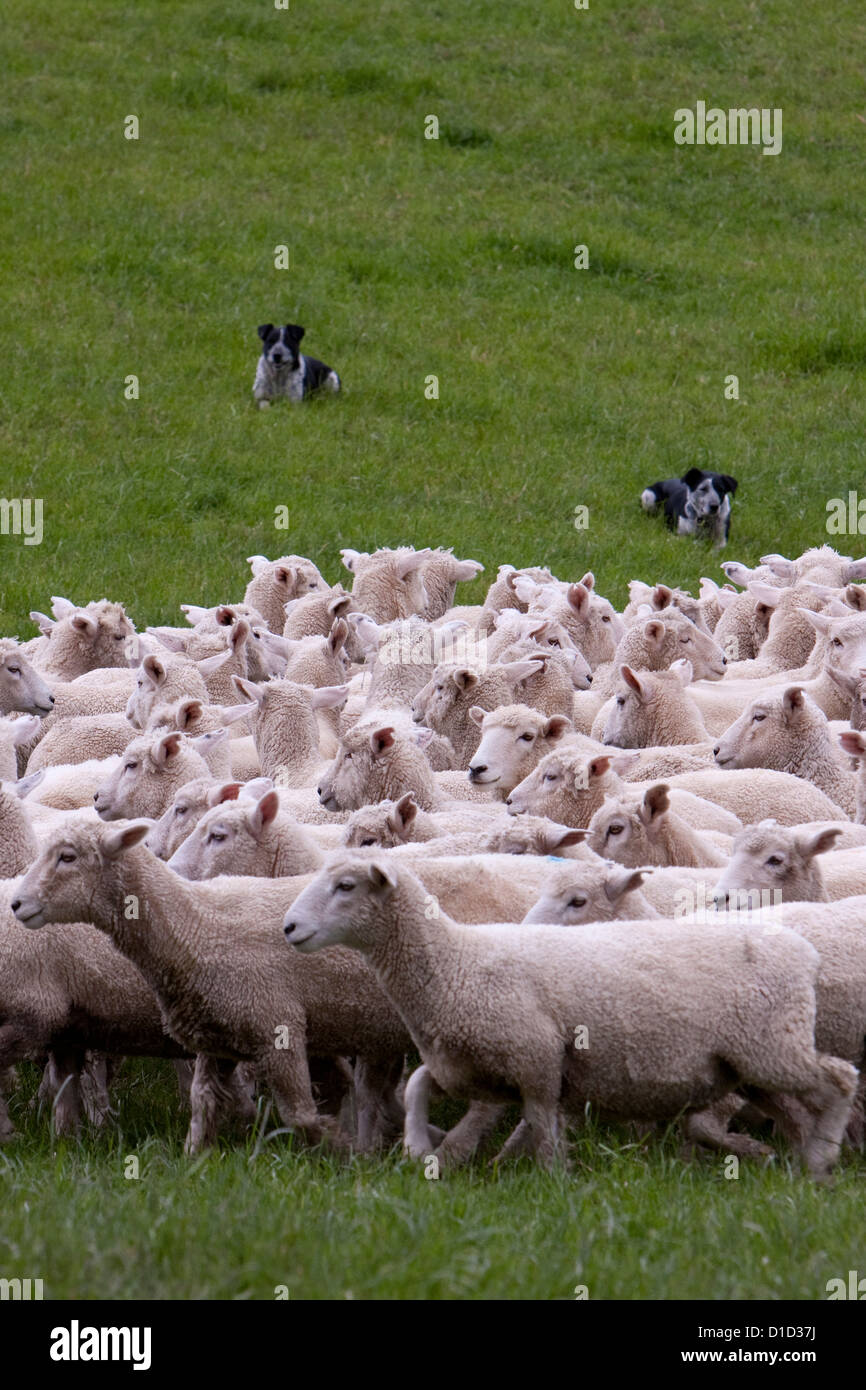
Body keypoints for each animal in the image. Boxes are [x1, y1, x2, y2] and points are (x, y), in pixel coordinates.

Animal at [11, 819, 412, 1153]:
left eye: (67, 857)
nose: (16, 903)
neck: (198, 924)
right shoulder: (216, 1034)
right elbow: (202, 1102)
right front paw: (196, 1156)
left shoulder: (277, 1027)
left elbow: (301, 1114)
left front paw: (339, 1146)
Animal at [283, 854, 856, 1175]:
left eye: (346, 886)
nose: (288, 927)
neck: (456, 963)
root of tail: (802, 951)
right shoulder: (475, 1068)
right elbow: (420, 1085)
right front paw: (421, 1147)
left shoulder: (535, 1059)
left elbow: (542, 1124)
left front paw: (553, 1179)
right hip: (752, 1065)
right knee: (802, 1105)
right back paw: (806, 1166)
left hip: (772, 1049)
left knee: (841, 1079)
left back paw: (821, 1157)